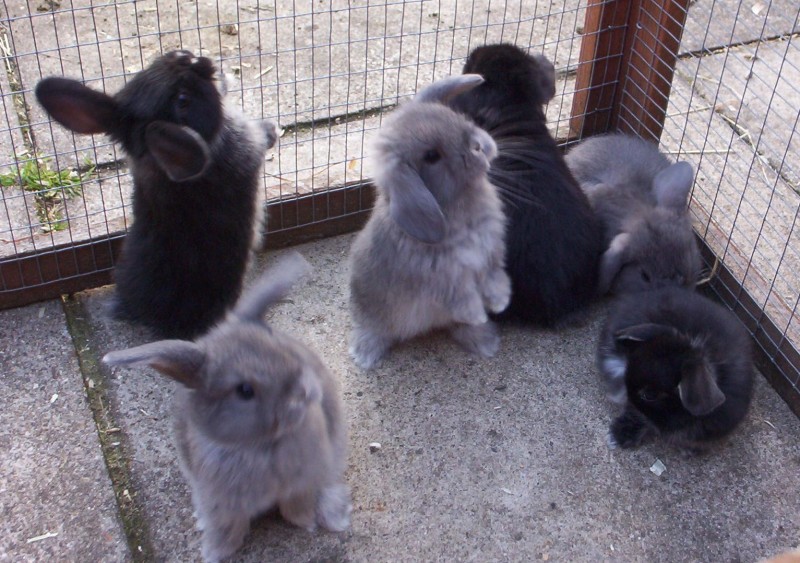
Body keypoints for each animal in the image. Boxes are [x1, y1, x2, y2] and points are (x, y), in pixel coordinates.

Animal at [103, 252, 351, 562]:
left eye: (281, 349)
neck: (261, 447)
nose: (305, 393)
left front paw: (307, 524)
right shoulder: (221, 503)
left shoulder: (301, 485)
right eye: (244, 390)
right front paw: (216, 552)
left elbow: (294, 507)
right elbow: (229, 527)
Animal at [348, 74, 511, 369]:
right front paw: (479, 314)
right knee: (374, 330)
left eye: (457, 118)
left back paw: (485, 342)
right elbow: (462, 298)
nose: (478, 147)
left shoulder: (489, 254)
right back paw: (364, 354)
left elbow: (494, 278)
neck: (459, 206)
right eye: (432, 156)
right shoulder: (443, 280)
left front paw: (500, 304)